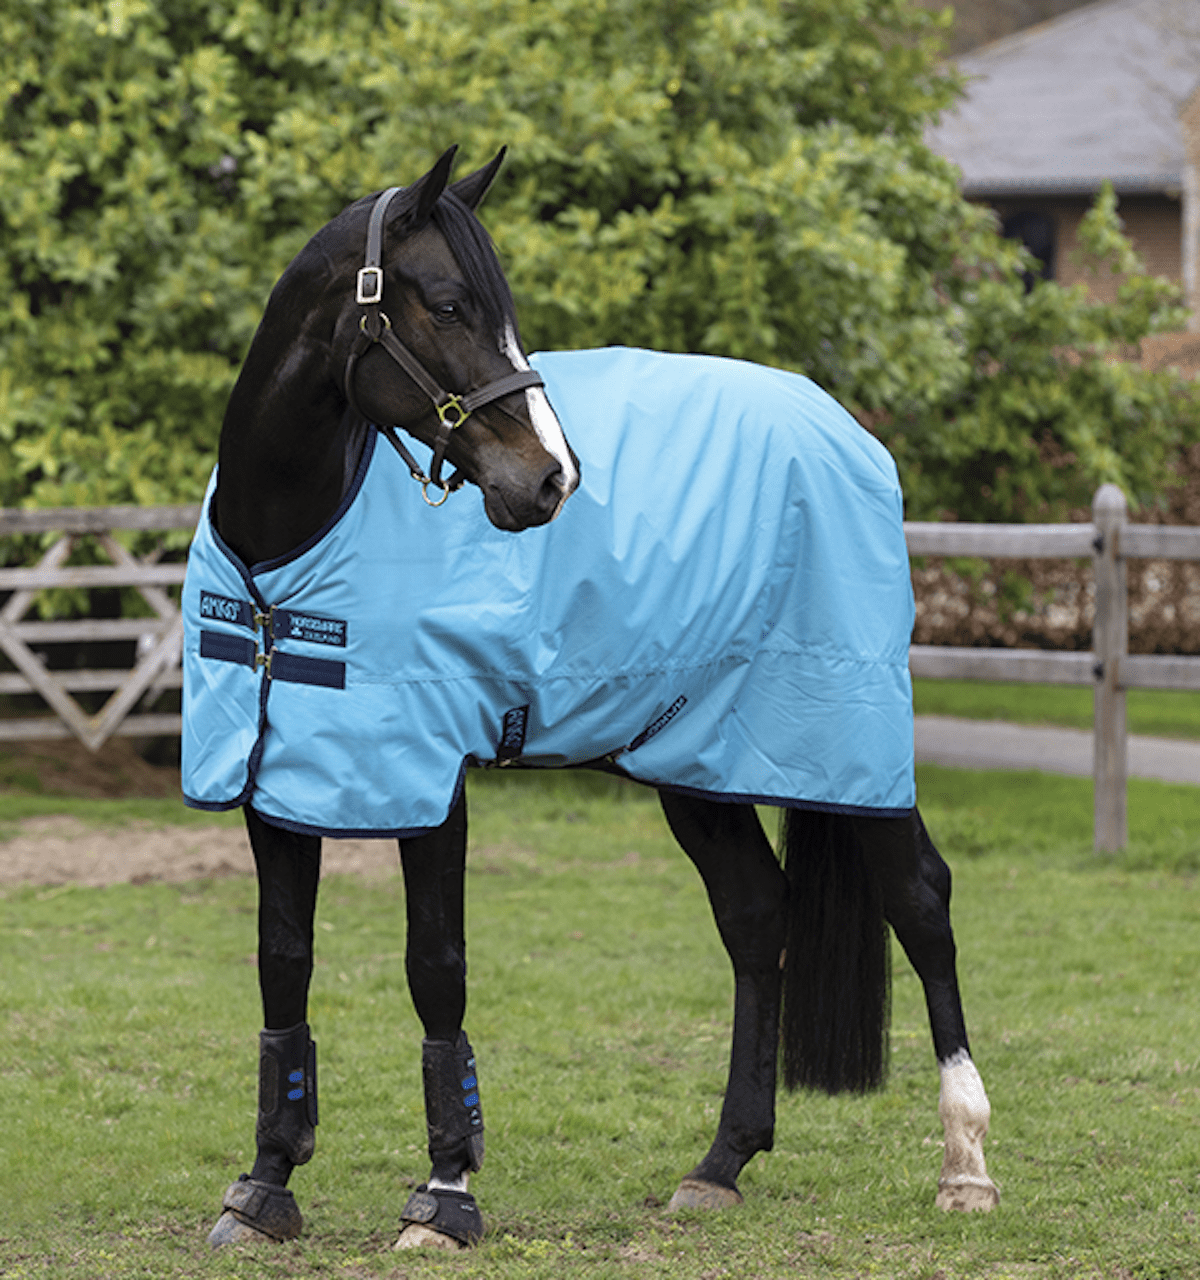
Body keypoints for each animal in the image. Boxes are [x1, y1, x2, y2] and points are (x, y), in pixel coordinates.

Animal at [183, 146, 999, 1251]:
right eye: (449, 302)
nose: (551, 480)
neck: (287, 549)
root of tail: (843, 430)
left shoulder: (431, 782)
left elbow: (436, 967)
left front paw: (445, 1196)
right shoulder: (278, 783)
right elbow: (283, 963)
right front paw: (265, 1183)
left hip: (850, 745)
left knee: (921, 901)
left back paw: (966, 1165)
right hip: (699, 759)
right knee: (758, 917)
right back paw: (722, 1162)